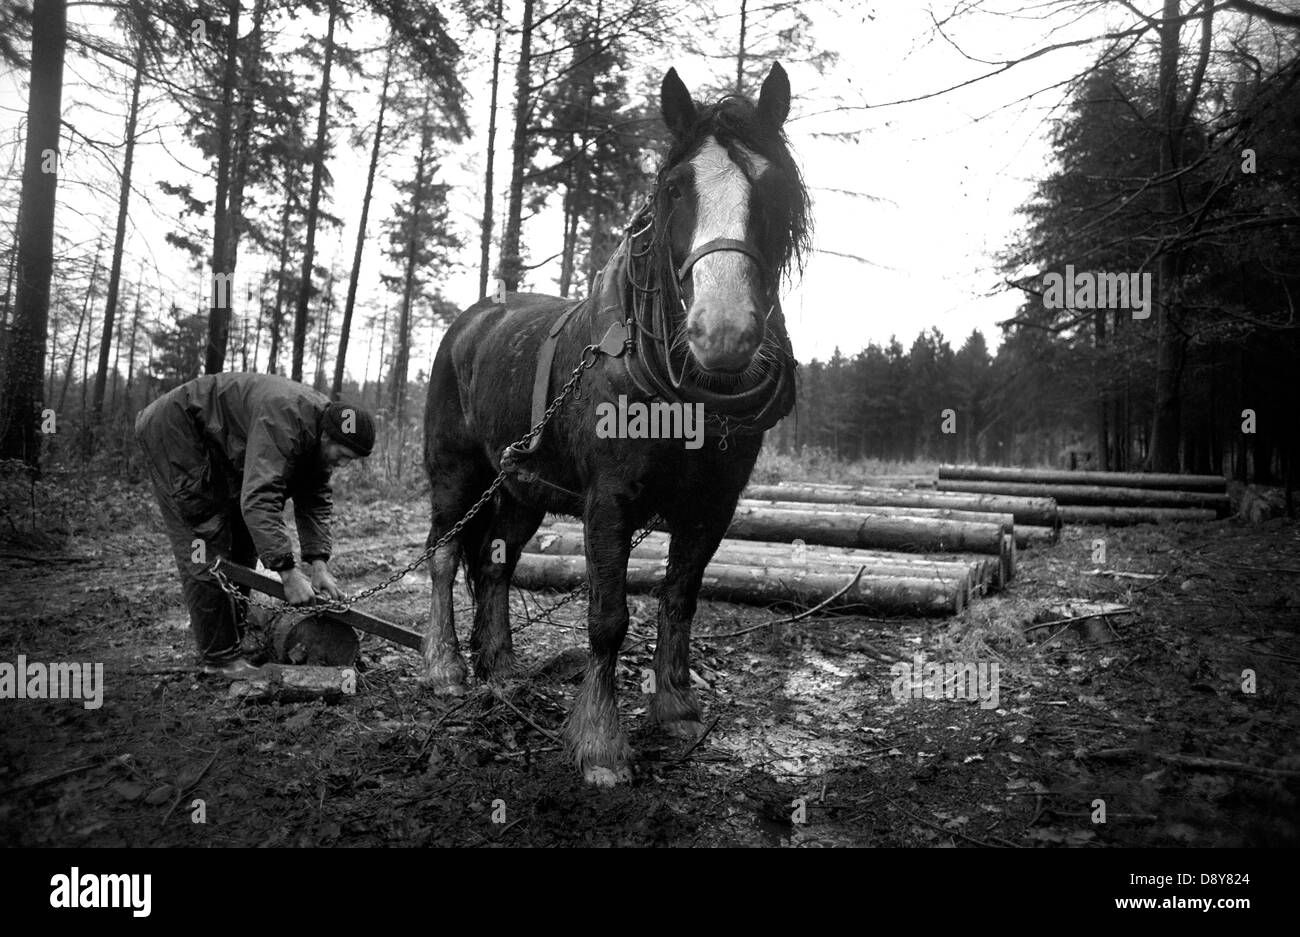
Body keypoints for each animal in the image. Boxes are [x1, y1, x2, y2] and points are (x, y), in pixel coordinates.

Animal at [421, 63, 810, 786]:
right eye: (673, 189)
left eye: (773, 187)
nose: (722, 332)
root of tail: (469, 323)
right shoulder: (609, 501)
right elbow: (607, 616)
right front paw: (601, 743)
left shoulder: (713, 505)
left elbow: (679, 598)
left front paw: (676, 707)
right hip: (456, 472)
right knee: (442, 553)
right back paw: (445, 666)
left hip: (522, 489)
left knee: (494, 562)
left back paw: (502, 667)